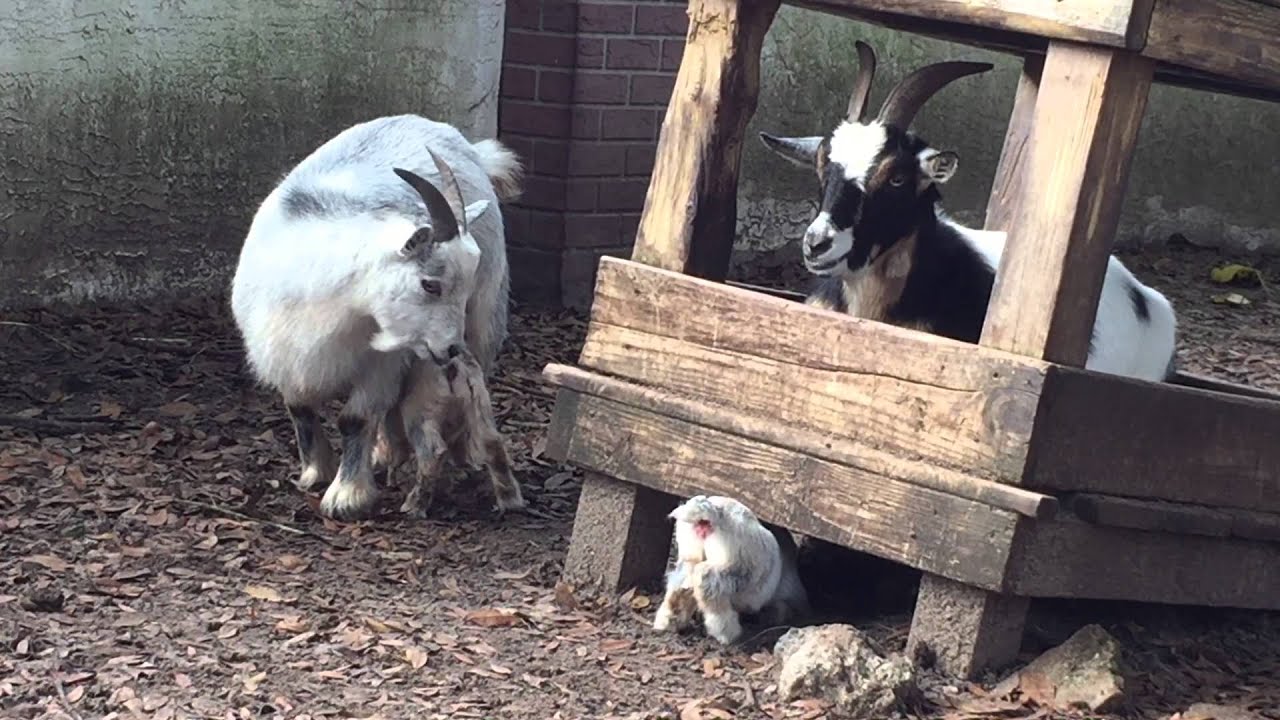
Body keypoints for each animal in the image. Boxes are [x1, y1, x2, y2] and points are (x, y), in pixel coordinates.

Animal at [229, 114, 525, 520]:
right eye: (430, 284)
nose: (450, 348)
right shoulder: (282, 354)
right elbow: (300, 408)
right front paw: (315, 473)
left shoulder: (380, 362)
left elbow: (355, 418)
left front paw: (346, 496)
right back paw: (389, 454)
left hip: (484, 319)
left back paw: (462, 456)